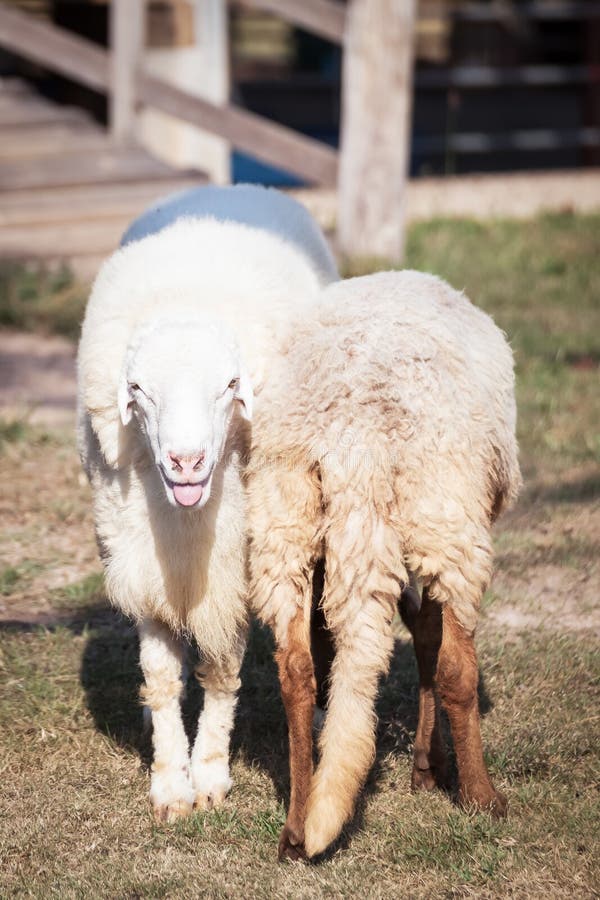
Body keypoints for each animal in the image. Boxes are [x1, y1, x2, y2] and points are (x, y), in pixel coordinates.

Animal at [77, 184, 338, 823]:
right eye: (138, 390)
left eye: (228, 386)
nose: (187, 462)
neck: (189, 524)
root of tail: (227, 187)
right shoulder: (144, 565)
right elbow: (162, 677)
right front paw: (171, 781)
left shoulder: (234, 570)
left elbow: (220, 673)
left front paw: (211, 773)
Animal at [247, 269, 521, 859]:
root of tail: (354, 434)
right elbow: (438, 649)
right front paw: (444, 775)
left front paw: (428, 765)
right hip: (444, 512)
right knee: (455, 665)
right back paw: (483, 796)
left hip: (286, 519)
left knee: (296, 670)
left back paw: (297, 827)